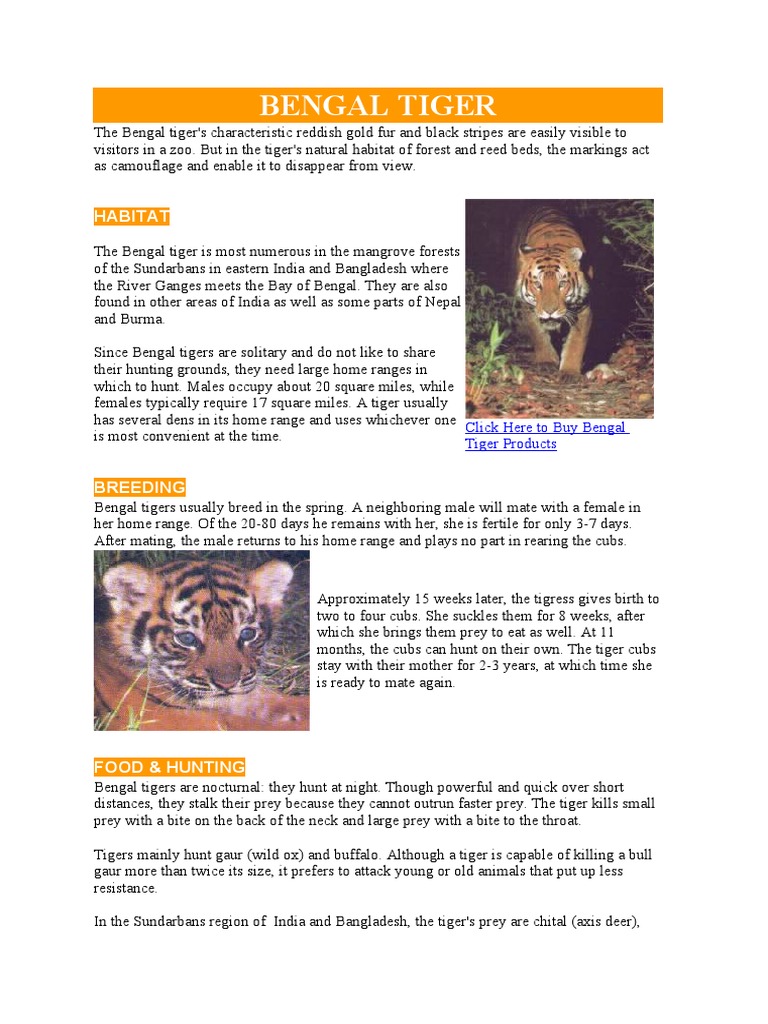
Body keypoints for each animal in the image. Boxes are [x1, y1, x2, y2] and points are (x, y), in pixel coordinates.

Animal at [514, 206, 593, 376]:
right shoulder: (528, 308)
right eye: (537, 284)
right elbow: (539, 335)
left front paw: (570, 372)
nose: (550, 311)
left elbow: (576, 342)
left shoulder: (584, 307)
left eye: (562, 283)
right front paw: (546, 361)